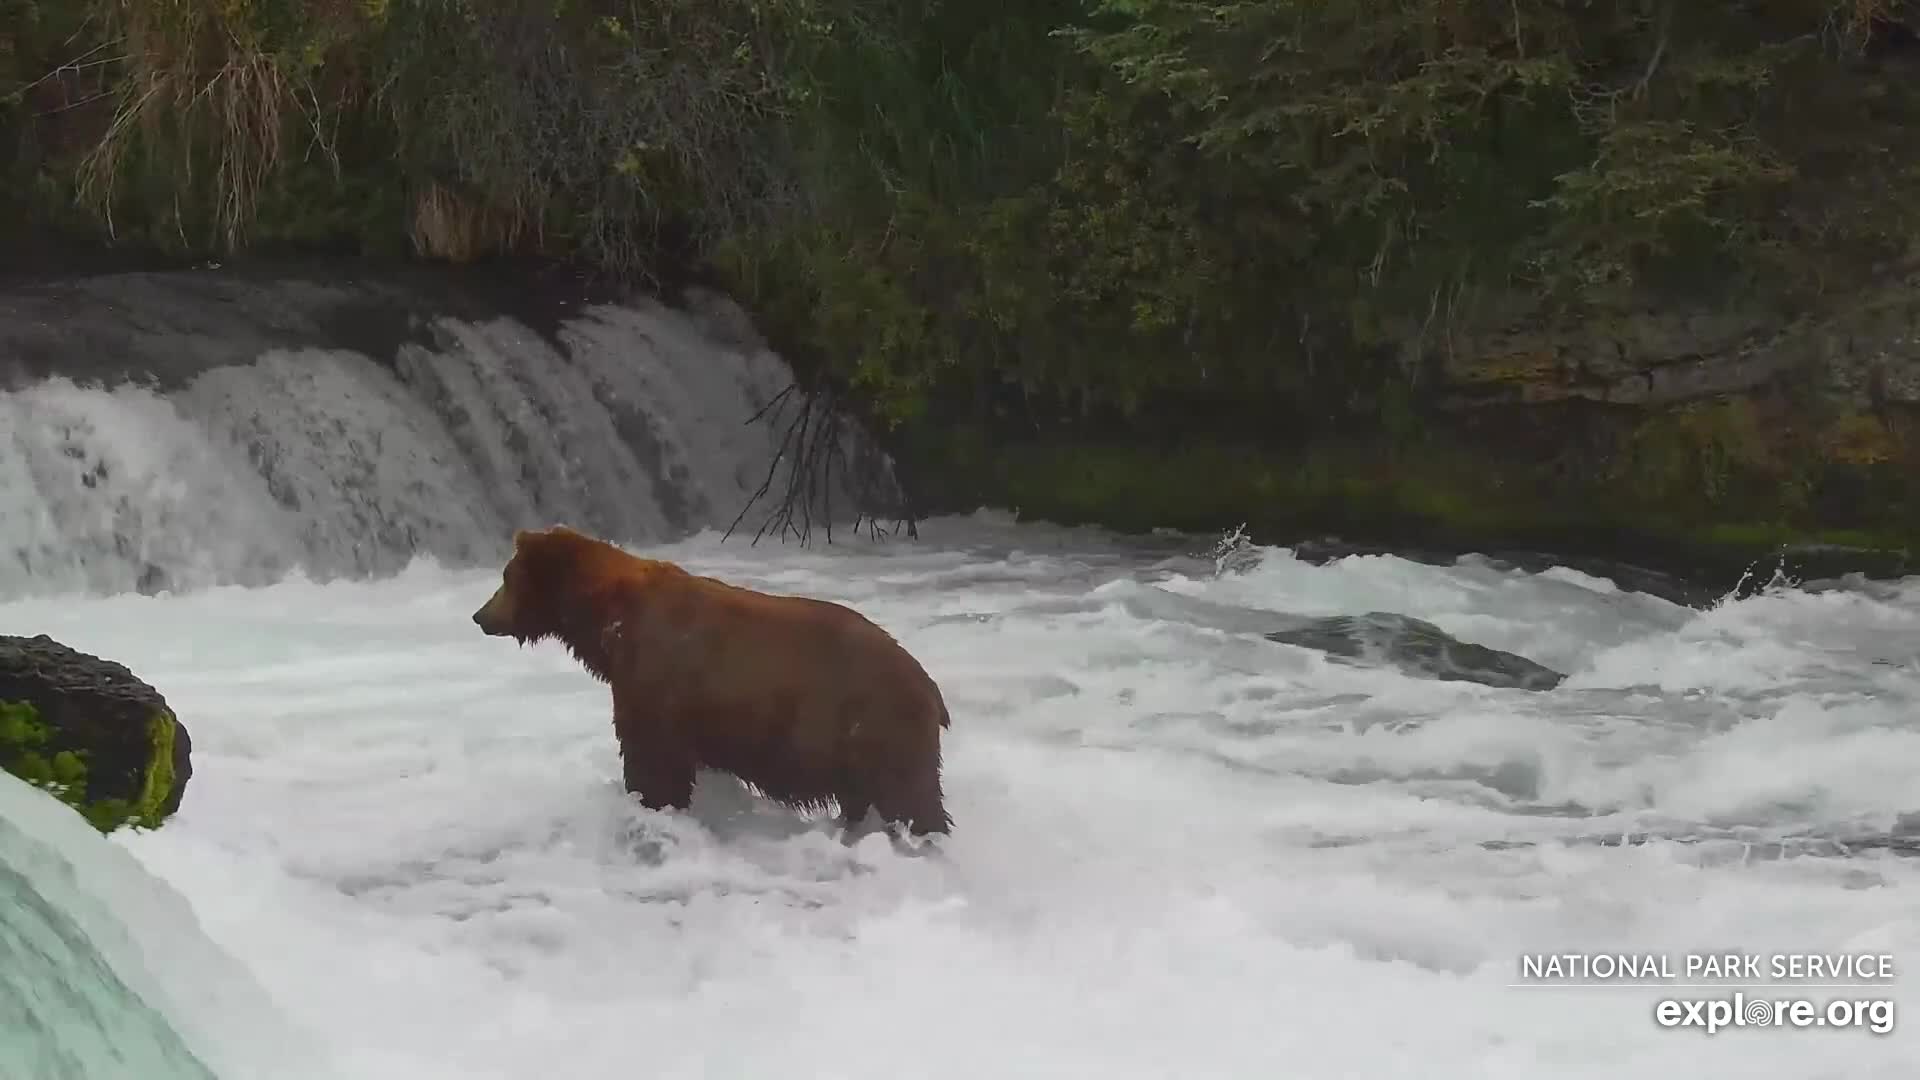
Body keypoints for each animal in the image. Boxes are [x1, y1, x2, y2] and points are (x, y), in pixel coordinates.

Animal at [471, 524, 954, 837]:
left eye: (506, 577)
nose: (480, 615)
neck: (608, 621)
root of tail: (930, 686)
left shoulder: (656, 679)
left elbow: (651, 758)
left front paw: (651, 801)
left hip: (874, 726)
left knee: (911, 798)